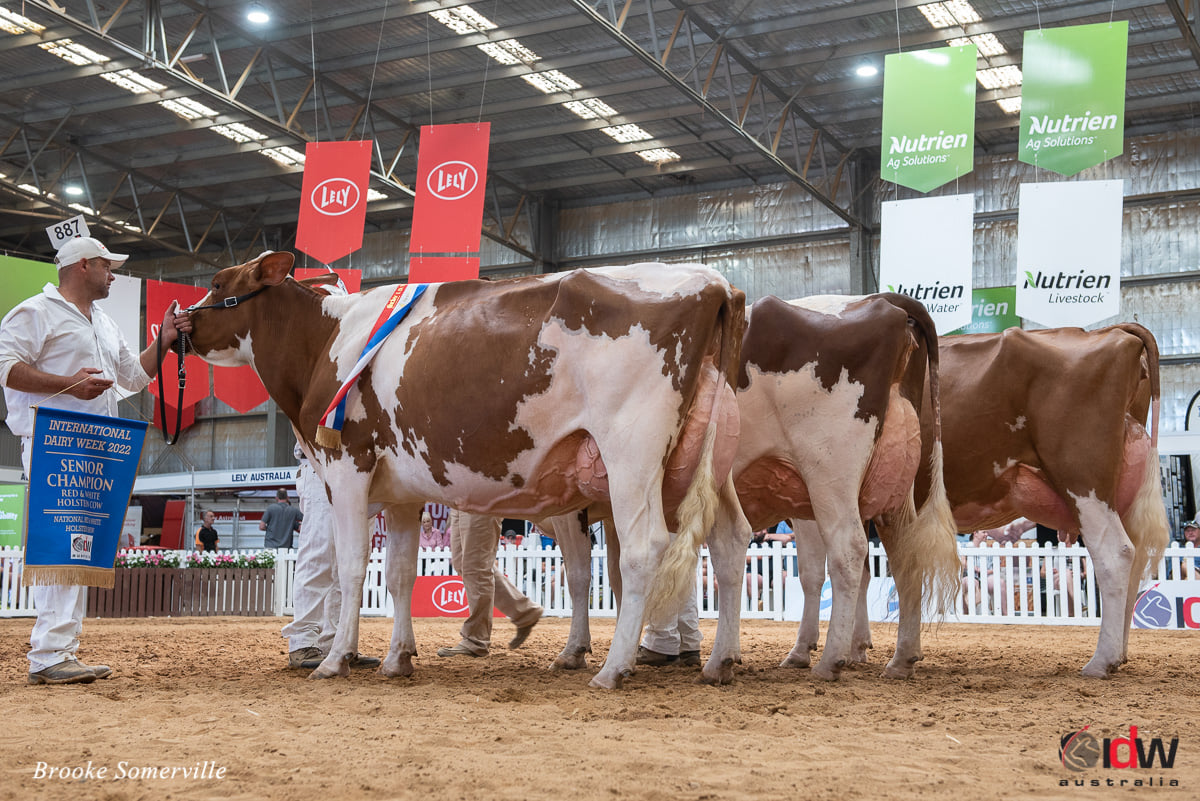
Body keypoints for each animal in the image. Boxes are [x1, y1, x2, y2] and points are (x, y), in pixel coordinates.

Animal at [184, 251, 751, 689]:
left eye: (217, 284)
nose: (180, 324)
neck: (327, 341)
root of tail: (713, 282)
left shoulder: (347, 469)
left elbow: (352, 567)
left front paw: (335, 659)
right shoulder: (402, 494)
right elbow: (399, 574)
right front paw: (397, 658)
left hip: (631, 450)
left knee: (644, 548)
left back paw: (613, 669)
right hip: (715, 461)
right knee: (730, 543)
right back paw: (719, 662)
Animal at [547, 293, 961, 681]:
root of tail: (884, 304)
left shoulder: (573, 503)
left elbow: (580, 574)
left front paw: (575, 651)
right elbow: (617, 574)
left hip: (829, 476)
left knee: (848, 551)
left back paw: (830, 660)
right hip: (890, 482)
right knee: (905, 556)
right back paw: (900, 658)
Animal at [796, 324, 1170, 678]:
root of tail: (1113, 332)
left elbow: (817, 572)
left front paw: (806, 651)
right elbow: (860, 571)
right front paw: (856, 648)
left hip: (1083, 480)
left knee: (1115, 555)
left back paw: (1101, 661)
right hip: (1116, 495)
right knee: (1134, 561)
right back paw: (1119, 654)